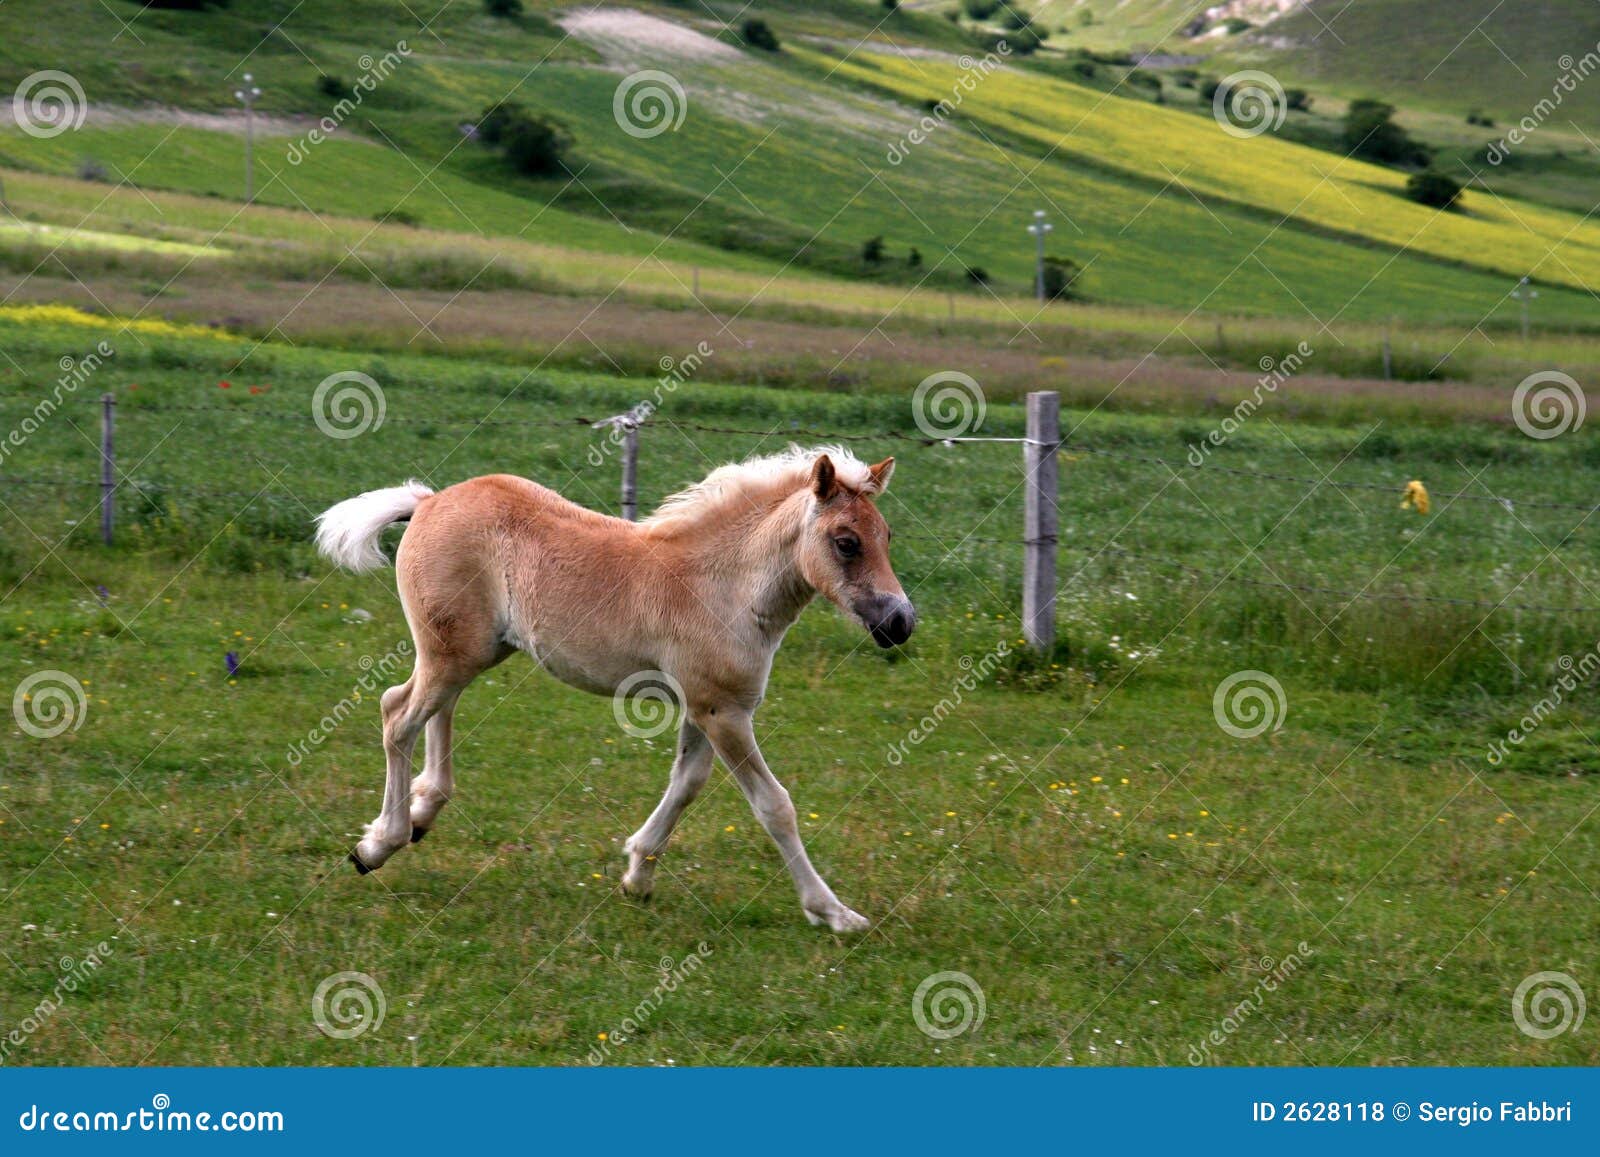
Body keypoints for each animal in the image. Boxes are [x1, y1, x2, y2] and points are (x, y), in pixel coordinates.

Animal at [313, 446, 915, 933]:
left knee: (432, 710)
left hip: (470, 651)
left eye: (886, 537)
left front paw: (637, 876)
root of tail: (429, 501)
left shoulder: (704, 708)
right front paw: (833, 912)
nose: (900, 622)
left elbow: (687, 784)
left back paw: (422, 811)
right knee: (398, 715)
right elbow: (775, 806)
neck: (724, 586)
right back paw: (378, 844)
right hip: (451, 653)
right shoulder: (723, 711)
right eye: (845, 542)